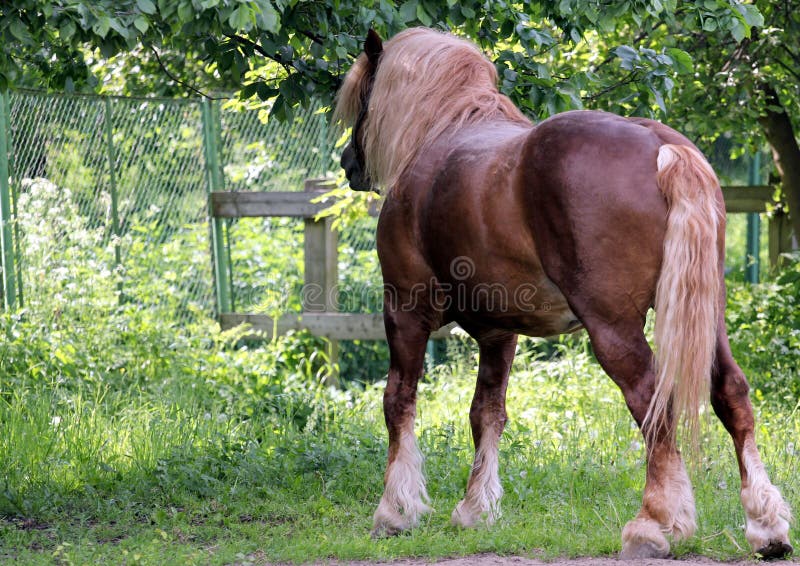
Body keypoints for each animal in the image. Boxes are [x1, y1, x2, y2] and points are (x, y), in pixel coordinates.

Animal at [333, 27, 793, 559]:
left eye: (362, 98)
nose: (348, 163)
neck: (440, 133)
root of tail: (661, 147)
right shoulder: (497, 332)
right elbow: (486, 413)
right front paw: (475, 510)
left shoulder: (405, 312)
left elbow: (398, 402)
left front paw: (396, 511)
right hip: (706, 314)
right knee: (732, 393)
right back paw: (767, 526)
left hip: (612, 328)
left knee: (652, 402)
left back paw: (653, 524)